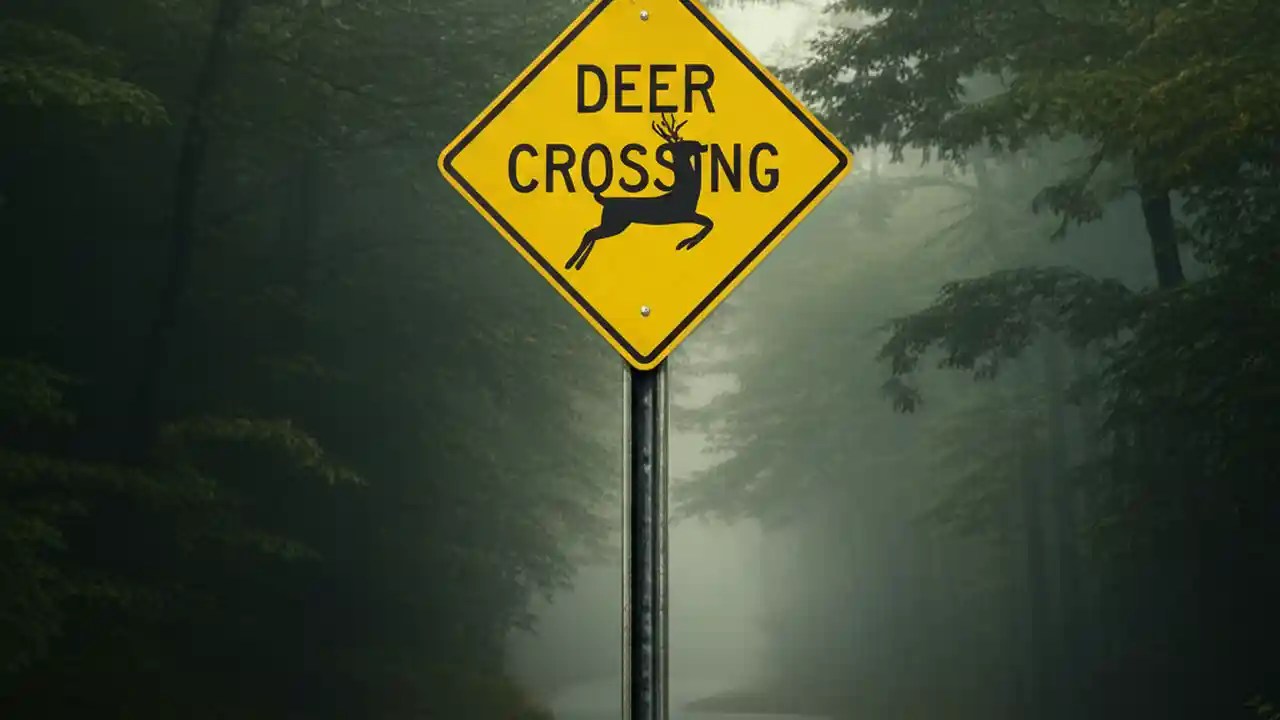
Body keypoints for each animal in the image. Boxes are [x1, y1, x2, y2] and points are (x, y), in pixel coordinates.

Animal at [564, 113, 714, 271]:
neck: (685, 192)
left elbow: (709, 223)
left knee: (592, 234)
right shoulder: (685, 213)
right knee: (590, 233)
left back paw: (578, 264)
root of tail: (604, 200)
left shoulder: (688, 214)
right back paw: (570, 264)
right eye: (684, 145)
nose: (702, 145)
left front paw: (685, 244)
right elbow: (709, 223)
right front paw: (685, 244)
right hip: (614, 222)